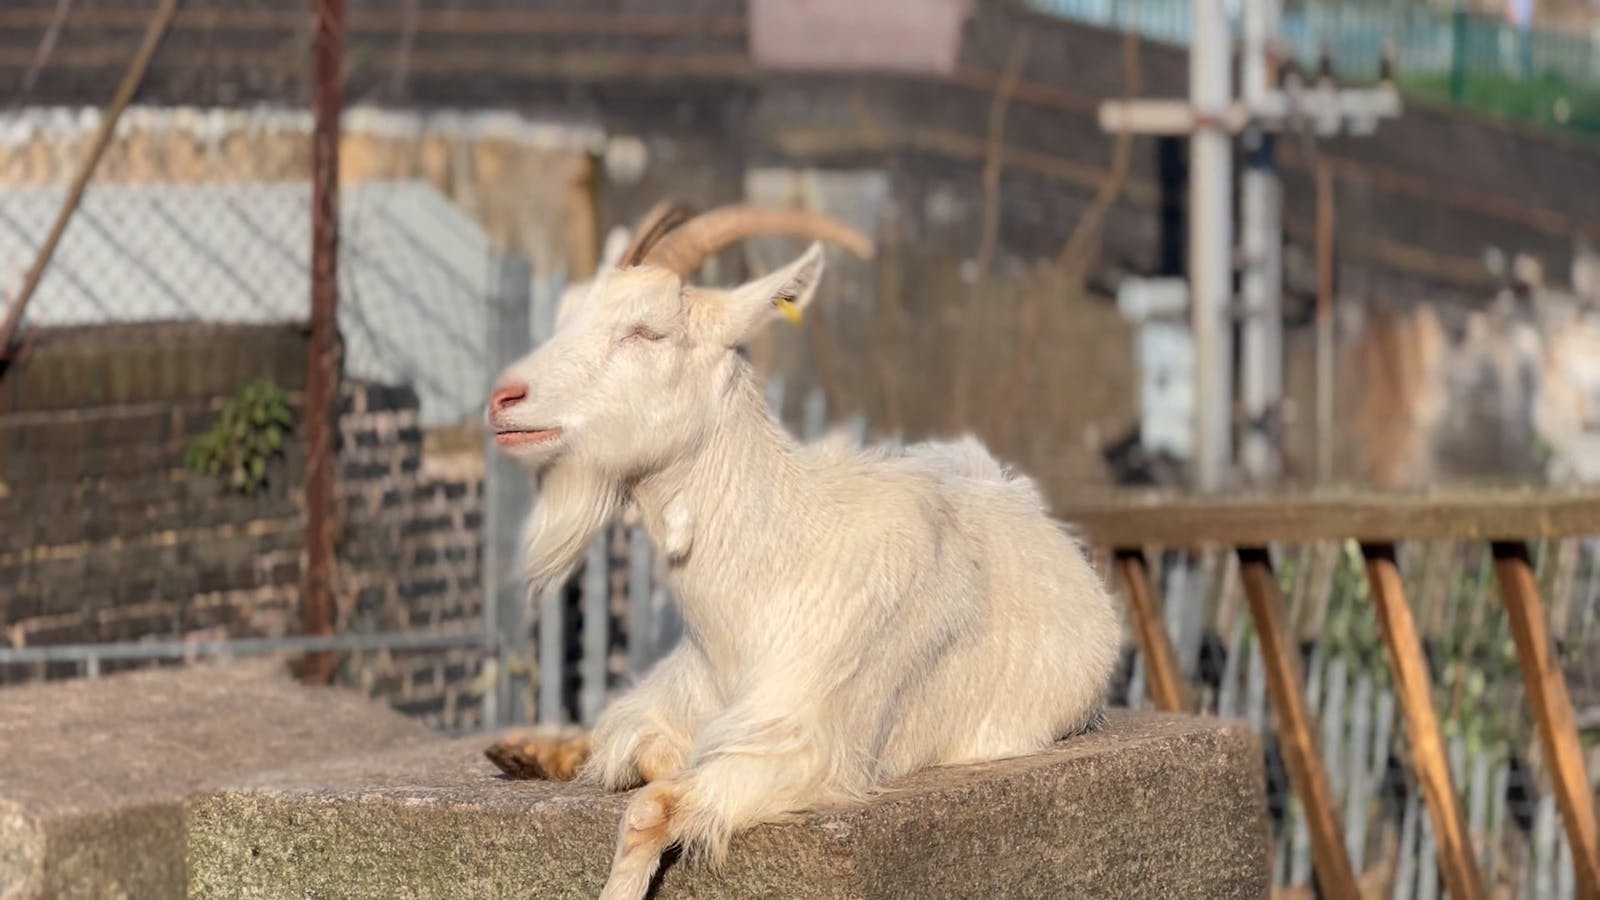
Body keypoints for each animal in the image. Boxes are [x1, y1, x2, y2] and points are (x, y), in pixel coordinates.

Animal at [483, 203, 1121, 900]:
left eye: (648, 331)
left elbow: (651, 807)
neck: (770, 571)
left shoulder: (806, 746)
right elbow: (635, 744)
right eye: (566, 313)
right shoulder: (667, 702)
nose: (504, 399)